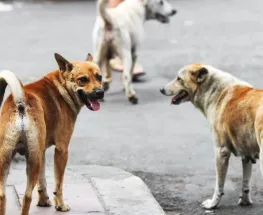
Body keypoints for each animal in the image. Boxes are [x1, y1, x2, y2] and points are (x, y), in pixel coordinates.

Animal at [0, 52, 104, 215]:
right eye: (83, 79)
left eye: (99, 77)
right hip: (32, 161)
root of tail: (20, 103)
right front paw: (60, 205)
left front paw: (43, 201)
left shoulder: (41, 151)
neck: (61, 86)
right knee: (27, 197)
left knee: (2, 195)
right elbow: (58, 184)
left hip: (8, 158)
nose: (100, 93)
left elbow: (42, 182)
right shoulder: (62, 149)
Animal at [160, 64, 262, 210]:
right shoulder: (246, 152)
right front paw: (245, 201)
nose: (161, 89)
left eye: (179, 78)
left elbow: (219, 185)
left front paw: (213, 204)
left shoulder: (221, 152)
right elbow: (245, 183)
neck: (215, 90)